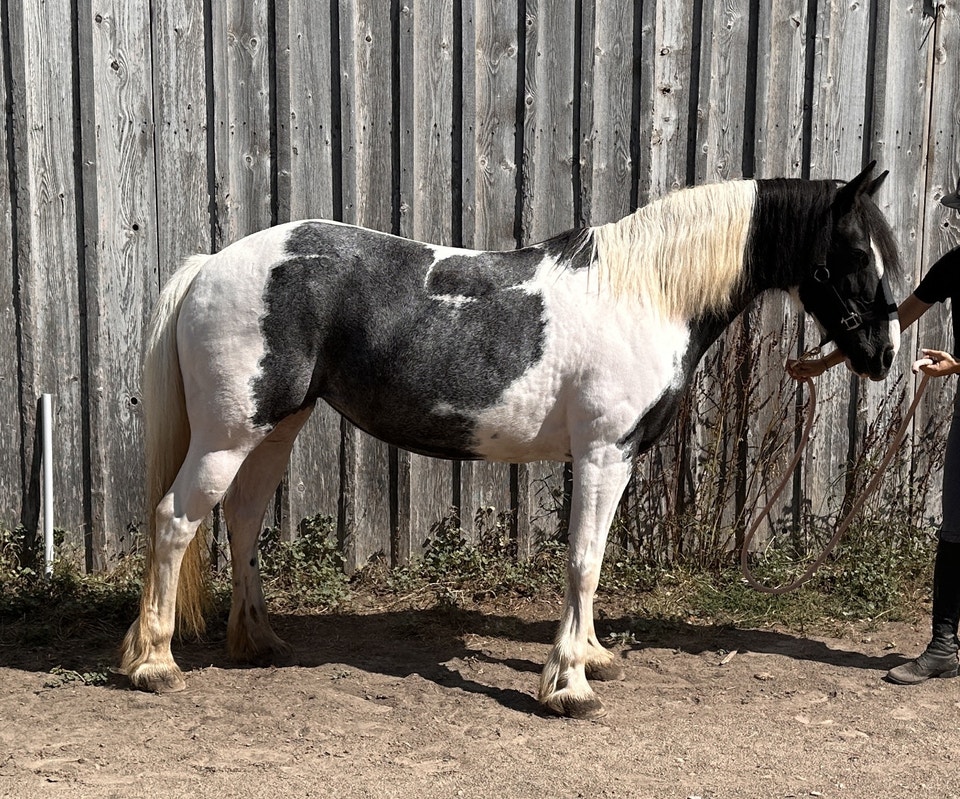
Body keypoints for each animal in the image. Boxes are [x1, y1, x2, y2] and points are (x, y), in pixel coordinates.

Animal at [121, 161, 901, 719]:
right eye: (852, 252)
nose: (885, 353)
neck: (645, 295)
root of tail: (210, 265)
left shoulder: (614, 459)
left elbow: (594, 560)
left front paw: (592, 654)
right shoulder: (602, 454)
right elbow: (584, 562)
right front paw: (569, 685)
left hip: (275, 428)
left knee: (242, 520)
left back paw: (257, 640)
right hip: (228, 434)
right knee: (176, 521)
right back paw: (155, 664)